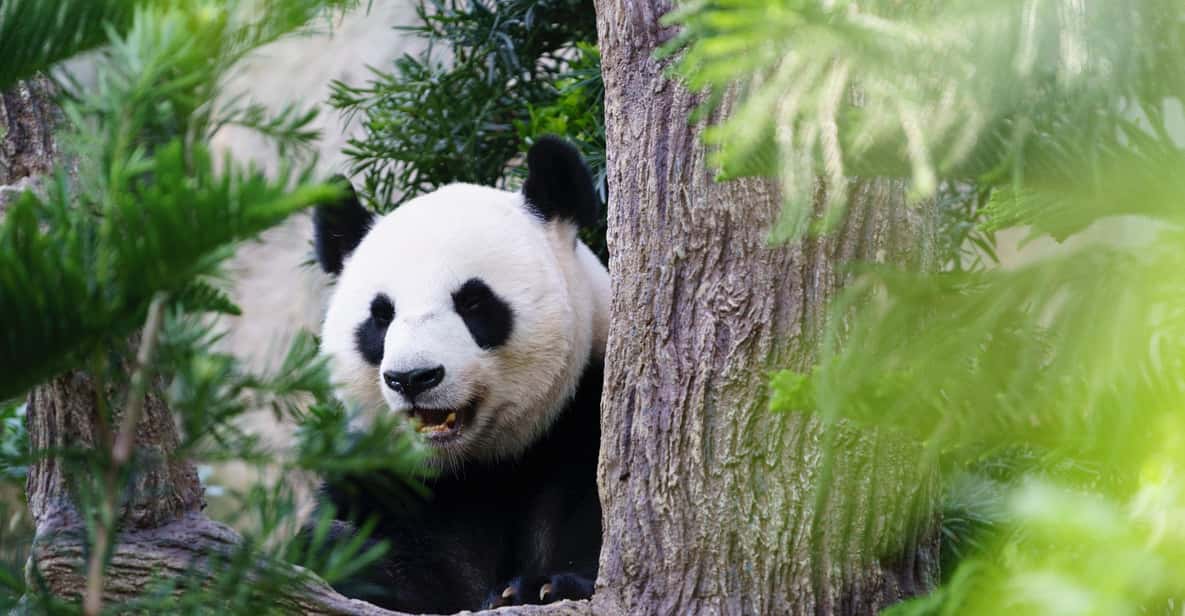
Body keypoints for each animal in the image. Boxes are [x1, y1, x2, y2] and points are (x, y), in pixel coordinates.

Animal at [309, 137, 609, 612]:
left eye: (473, 302)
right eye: (380, 316)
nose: (412, 378)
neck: (479, 463)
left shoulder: (584, 413)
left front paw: (539, 586)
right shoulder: (393, 477)